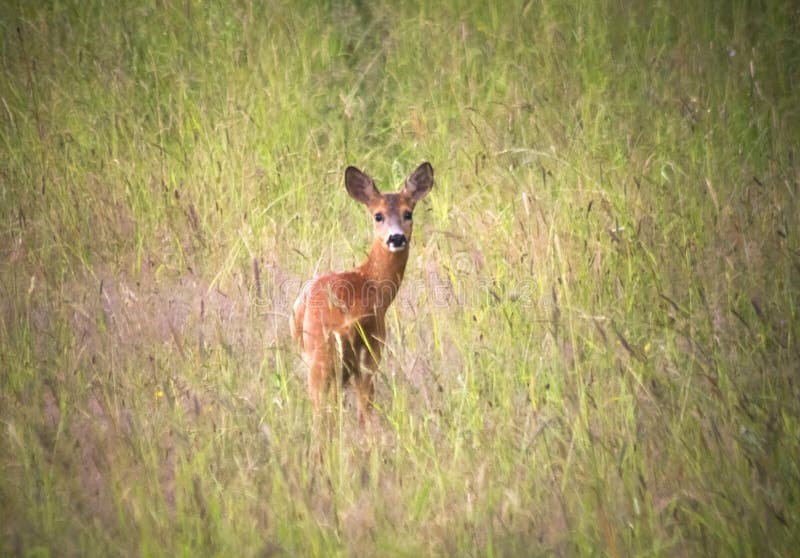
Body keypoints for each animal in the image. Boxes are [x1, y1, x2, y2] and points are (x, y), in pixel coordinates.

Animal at [291, 162, 434, 426]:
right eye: (378, 215)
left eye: (408, 213)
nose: (396, 237)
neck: (368, 282)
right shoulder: (375, 344)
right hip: (331, 354)